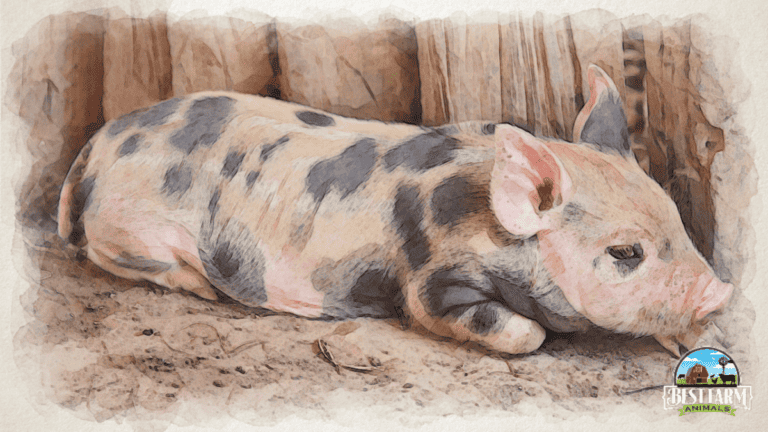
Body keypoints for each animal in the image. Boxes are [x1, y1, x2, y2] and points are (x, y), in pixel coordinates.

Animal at [57, 65, 733, 356]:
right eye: (624, 252)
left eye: (678, 221)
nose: (720, 292)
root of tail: (94, 147)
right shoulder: (431, 277)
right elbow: (520, 332)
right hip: (130, 229)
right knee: (112, 258)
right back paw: (200, 289)